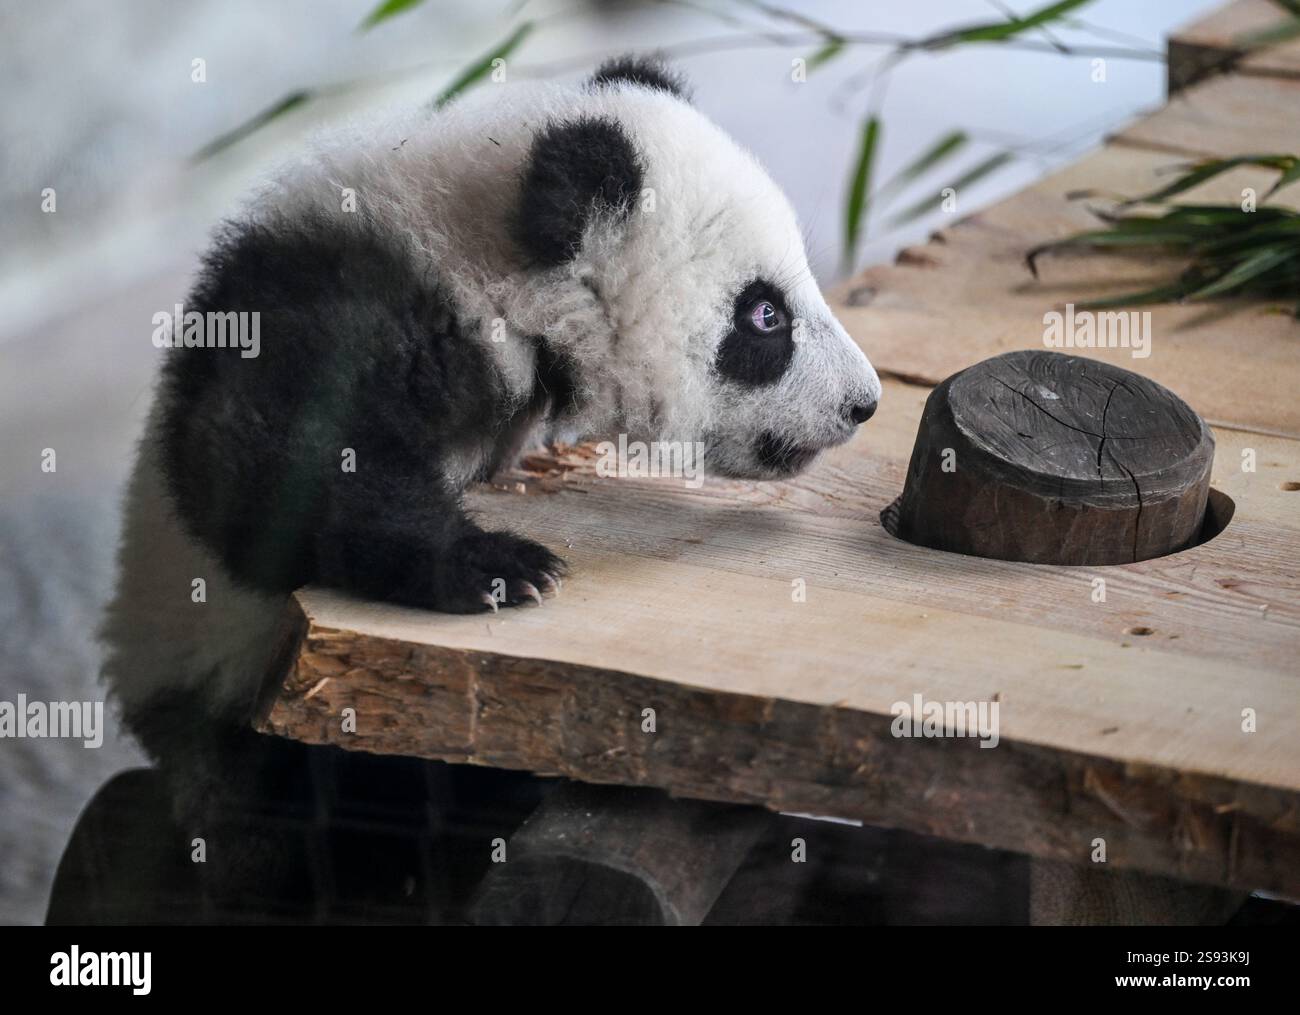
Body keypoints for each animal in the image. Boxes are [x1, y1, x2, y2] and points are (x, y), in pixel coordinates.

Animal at [98, 56, 880, 910]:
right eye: (765, 316)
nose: (863, 402)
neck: (487, 252)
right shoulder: (346, 294)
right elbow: (260, 462)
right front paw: (494, 566)